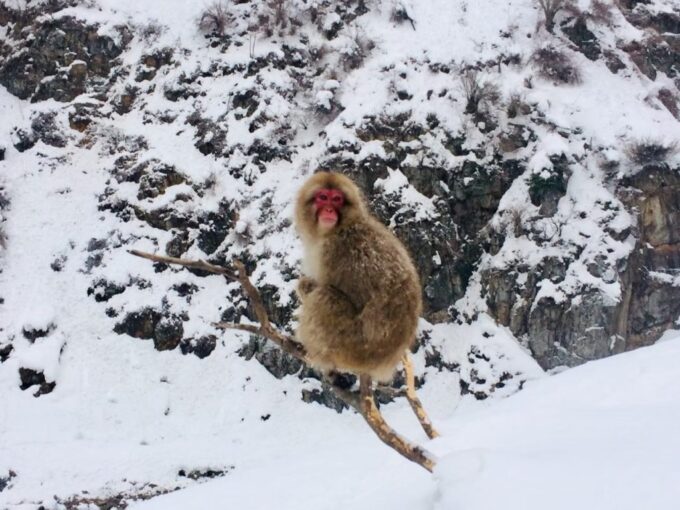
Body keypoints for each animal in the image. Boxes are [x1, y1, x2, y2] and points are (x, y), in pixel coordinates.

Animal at [294, 171, 422, 382]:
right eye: (323, 197)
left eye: (337, 199)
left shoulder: (333, 251)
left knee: (323, 297)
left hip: (351, 346)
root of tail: (382, 364)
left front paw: (304, 285)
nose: (329, 209)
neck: (340, 227)